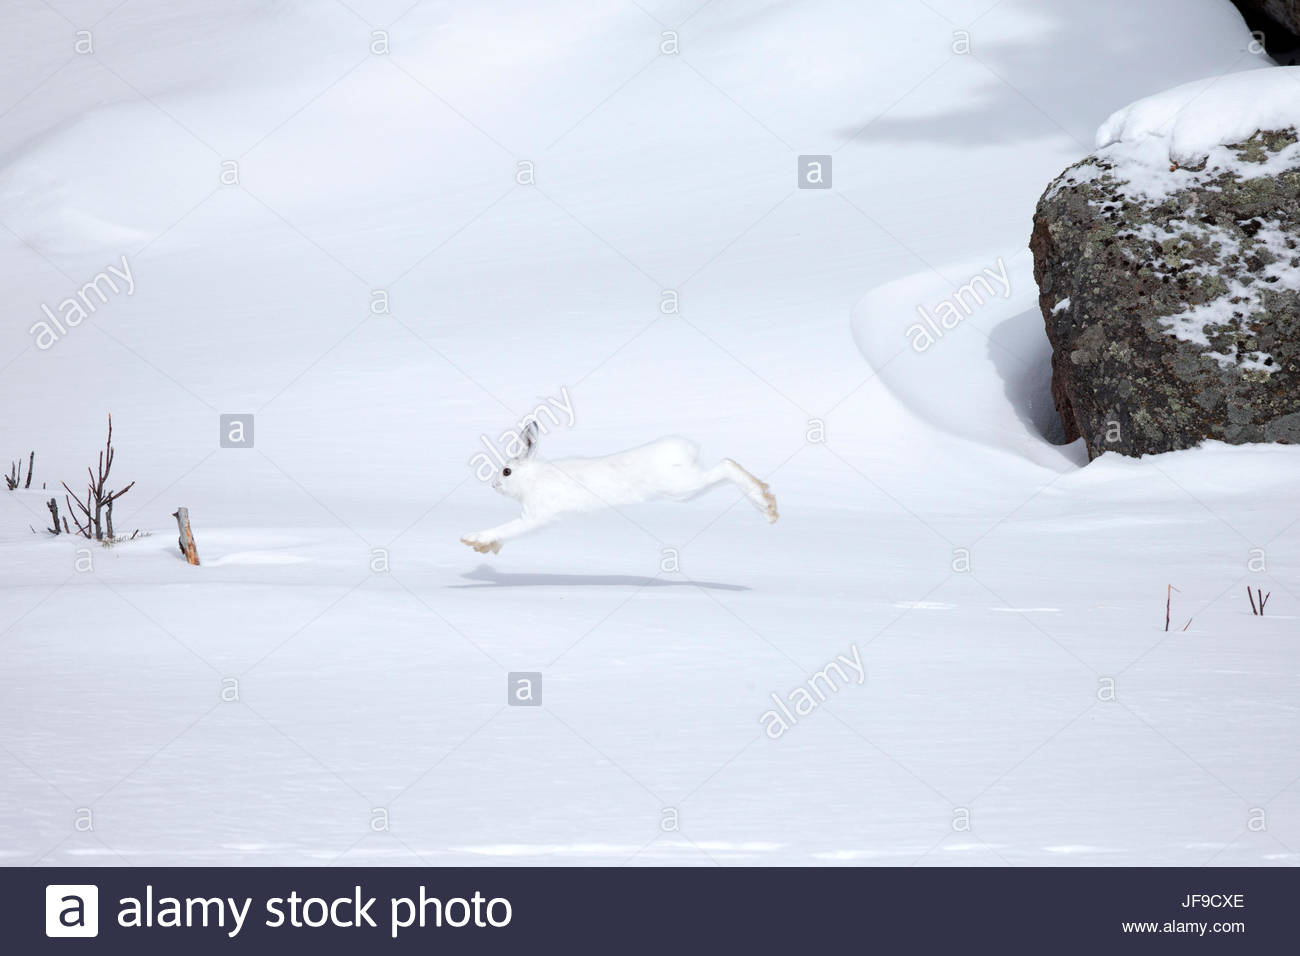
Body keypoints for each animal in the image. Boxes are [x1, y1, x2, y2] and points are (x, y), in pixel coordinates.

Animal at [460, 421, 778, 554]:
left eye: (507, 471)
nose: (494, 485)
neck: (532, 477)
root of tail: (686, 449)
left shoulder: (537, 515)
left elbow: (509, 528)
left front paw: (473, 539)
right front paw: (486, 549)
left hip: (681, 486)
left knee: (726, 465)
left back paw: (767, 504)